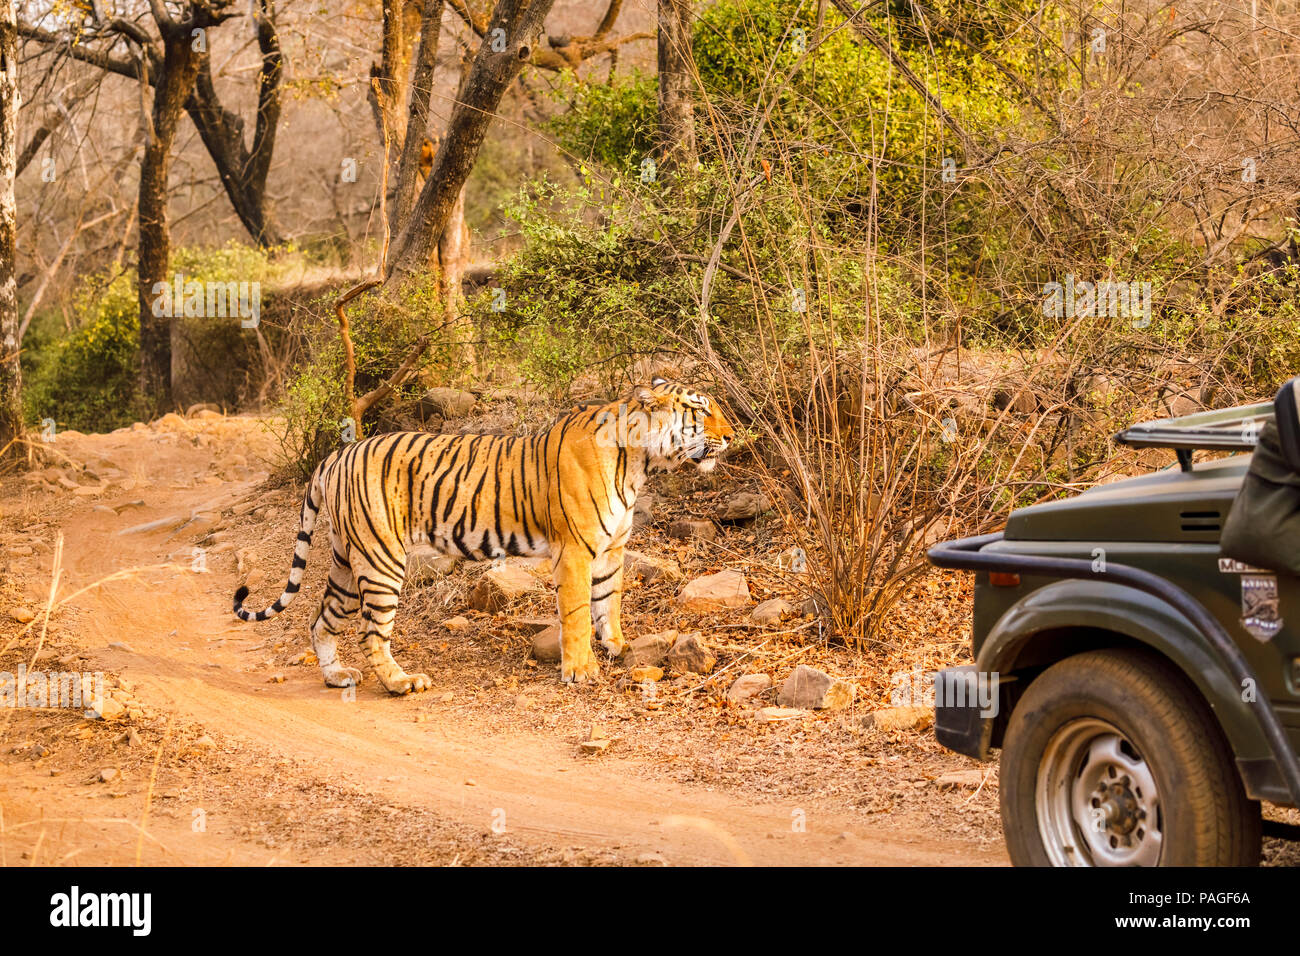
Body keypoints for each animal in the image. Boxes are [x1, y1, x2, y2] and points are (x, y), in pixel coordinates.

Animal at [232, 378, 735, 692]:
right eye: (700, 409)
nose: (733, 435)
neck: (639, 463)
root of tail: (335, 455)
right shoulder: (575, 550)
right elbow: (577, 614)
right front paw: (581, 671)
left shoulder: (611, 550)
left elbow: (607, 603)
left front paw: (618, 647)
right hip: (380, 561)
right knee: (371, 634)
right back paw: (400, 683)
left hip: (345, 559)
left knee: (321, 620)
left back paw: (336, 676)